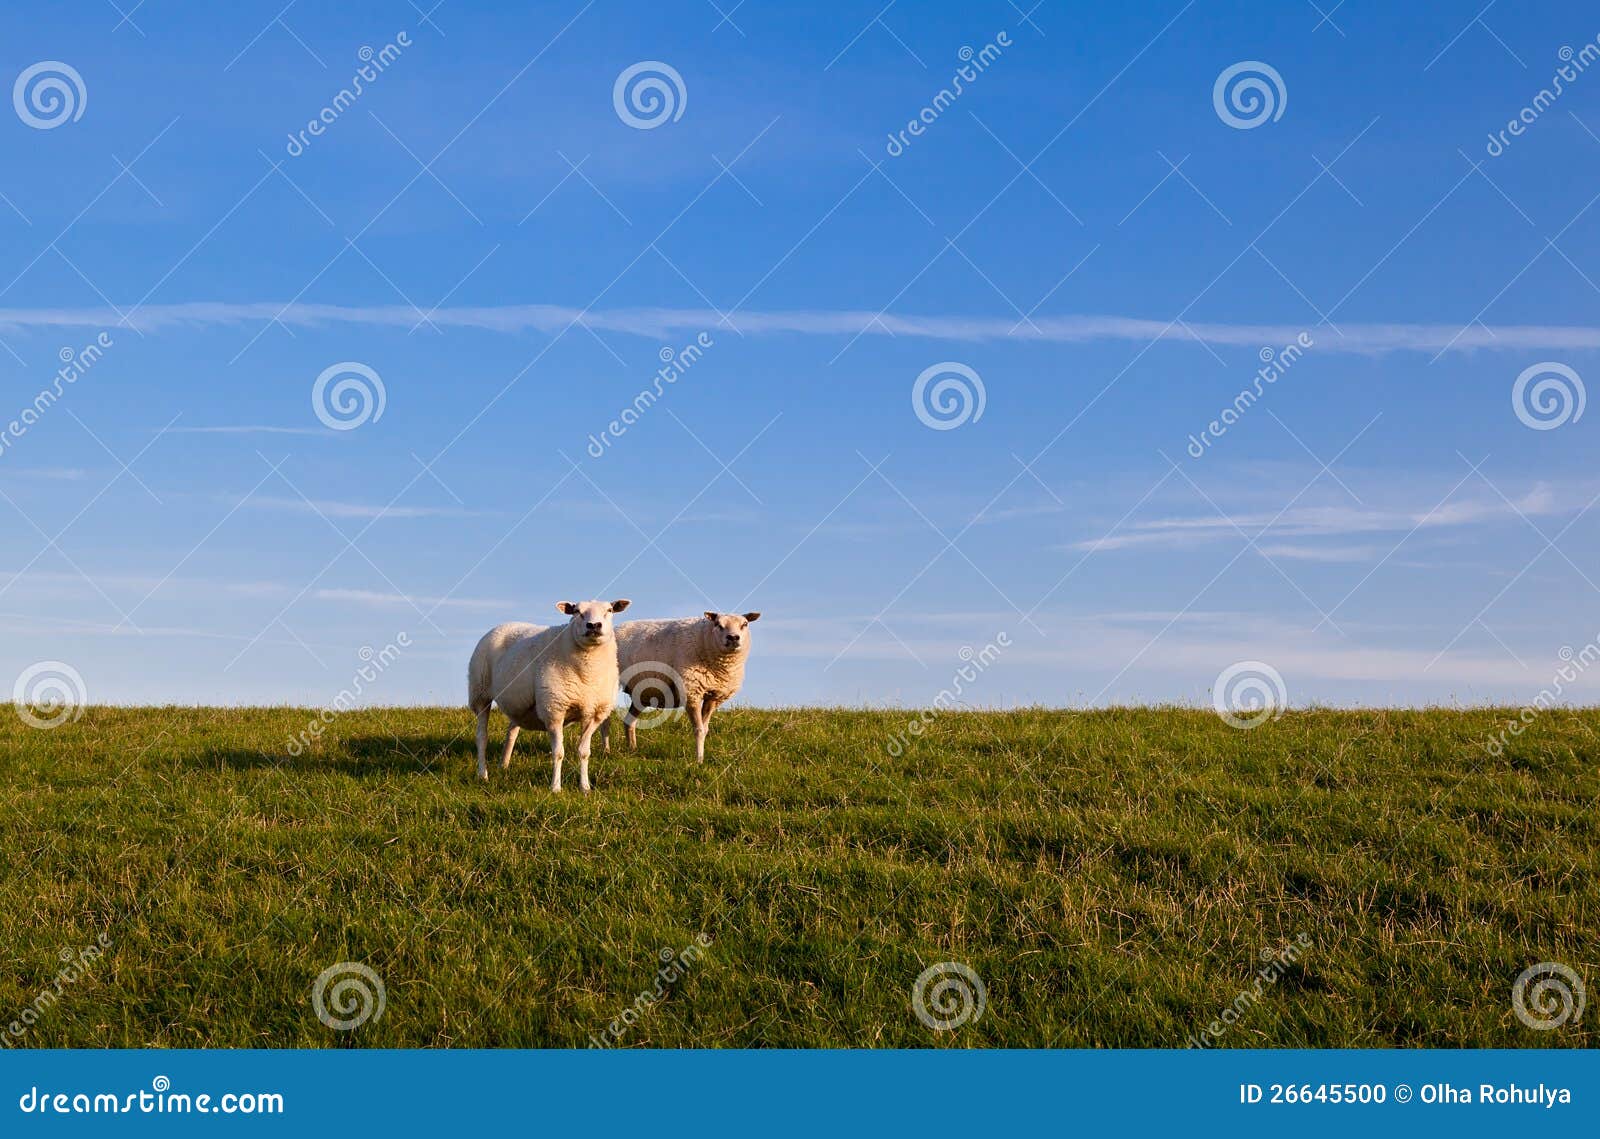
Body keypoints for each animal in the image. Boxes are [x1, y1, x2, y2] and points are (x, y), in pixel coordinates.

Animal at [467, 599, 630, 791]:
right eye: (577, 611)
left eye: (610, 610)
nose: (593, 625)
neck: (587, 673)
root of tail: (504, 624)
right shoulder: (554, 710)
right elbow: (558, 753)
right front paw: (555, 788)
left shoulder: (595, 713)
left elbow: (584, 752)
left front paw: (585, 787)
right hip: (480, 692)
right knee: (481, 737)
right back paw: (483, 775)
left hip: (518, 704)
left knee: (512, 732)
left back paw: (504, 766)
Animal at [601, 610, 760, 761]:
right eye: (718, 624)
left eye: (745, 624)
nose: (733, 638)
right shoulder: (691, 691)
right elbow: (699, 730)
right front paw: (699, 760)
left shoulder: (713, 696)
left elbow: (705, 729)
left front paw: (701, 757)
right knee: (606, 720)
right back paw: (606, 751)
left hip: (642, 693)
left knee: (629, 721)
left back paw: (633, 749)